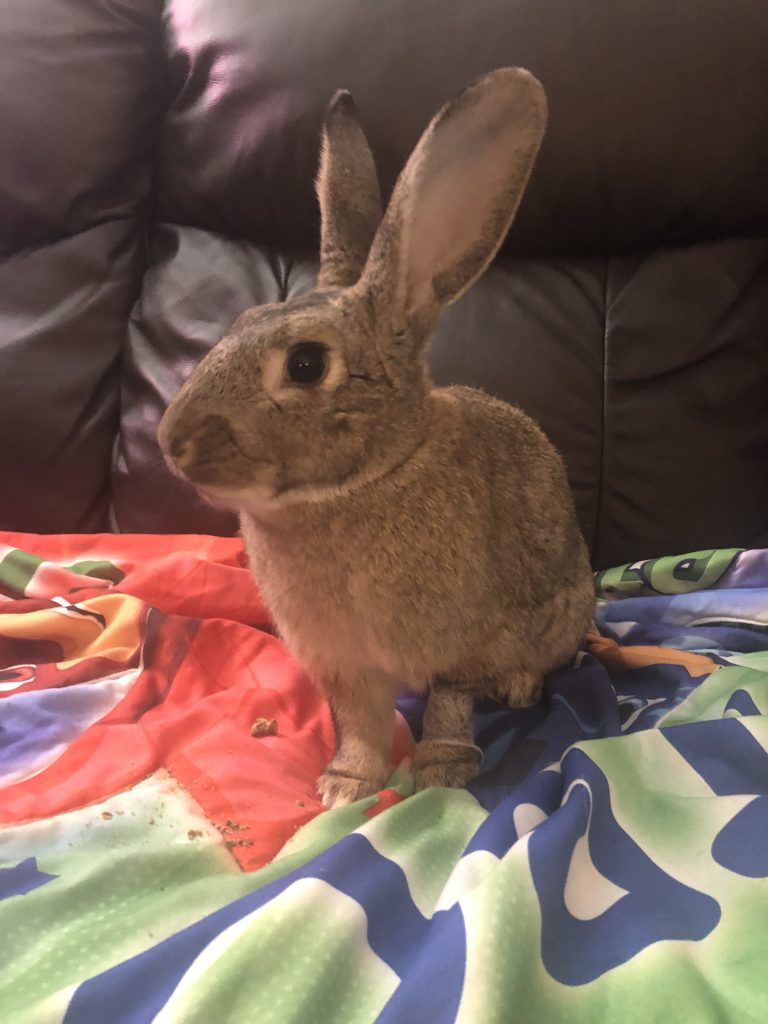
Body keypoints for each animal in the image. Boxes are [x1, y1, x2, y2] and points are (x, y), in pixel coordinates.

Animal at [158, 67, 595, 809]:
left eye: (306, 364)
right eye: (237, 322)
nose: (172, 443)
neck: (360, 483)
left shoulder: (461, 644)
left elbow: (449, 703)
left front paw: (442, 772)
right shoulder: (343, 664)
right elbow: (358, 720)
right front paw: (345, 785)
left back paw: (519, 686)